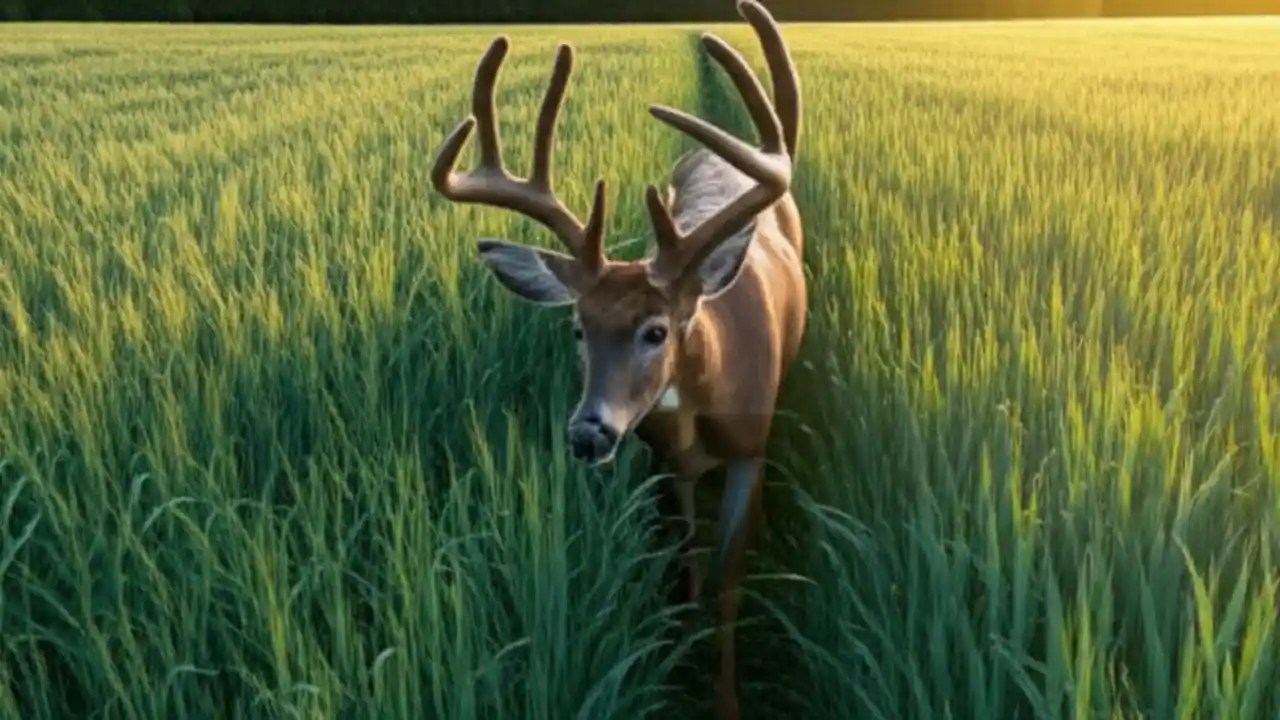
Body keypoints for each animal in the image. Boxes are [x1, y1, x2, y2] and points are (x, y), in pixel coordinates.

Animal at [429, 2, 802, 717]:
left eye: (655, 331)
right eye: (578, 328)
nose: (587, 432)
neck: (698, 407)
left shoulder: (753, 447)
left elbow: (728, 581)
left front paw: (725, 696)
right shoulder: (662, 458)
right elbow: (683, 547)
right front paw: (680, 630)